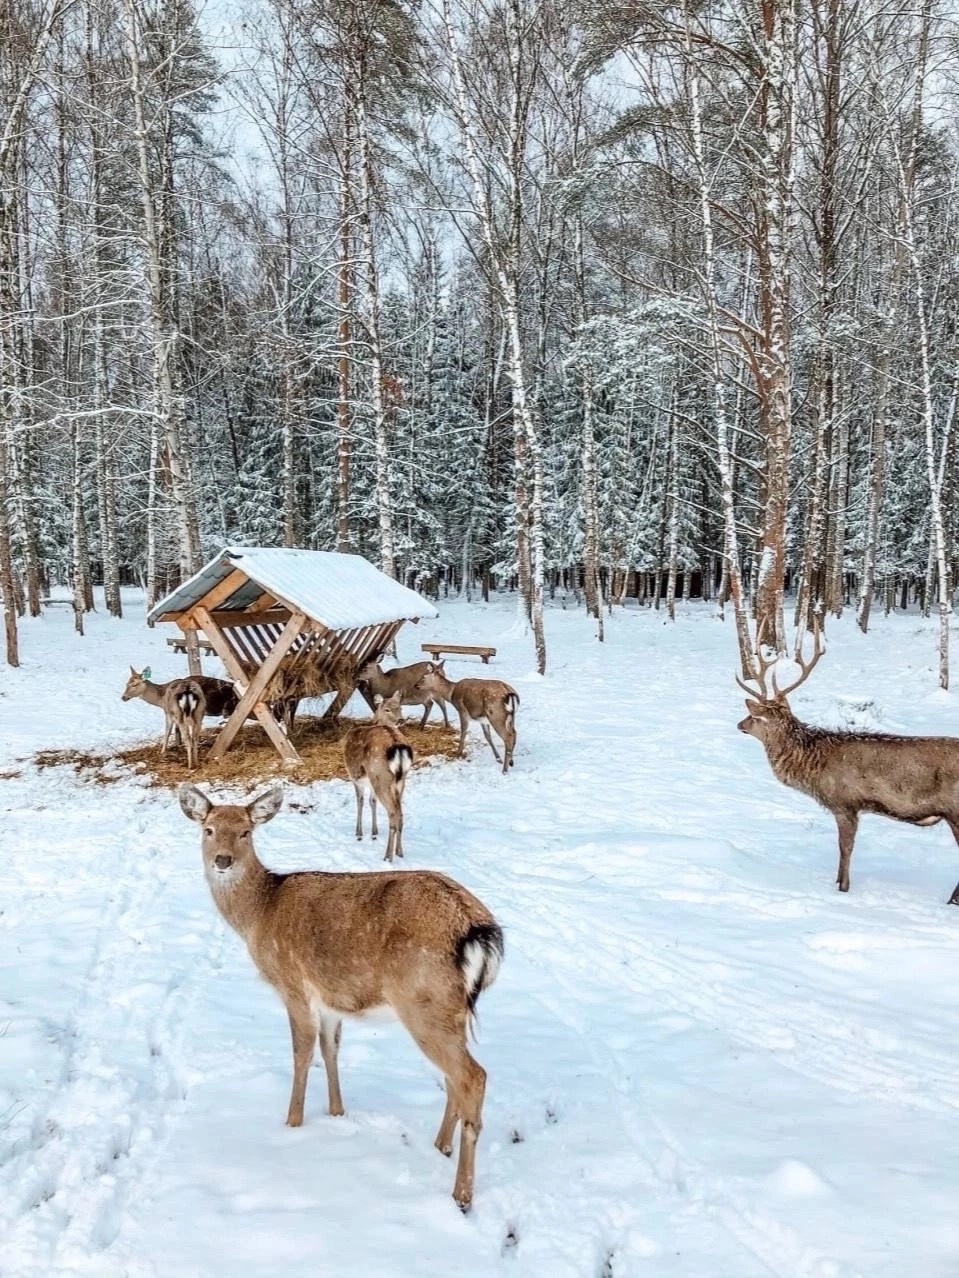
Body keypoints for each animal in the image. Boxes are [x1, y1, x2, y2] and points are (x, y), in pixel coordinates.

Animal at [181, 782, 511, 1211]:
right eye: (208, 829)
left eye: (245, 832)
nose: (223, 860)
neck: (258, 915)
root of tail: (479, 931)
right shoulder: (329, 998)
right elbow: (330, 1049)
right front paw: (337, 1113)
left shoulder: (293, 984)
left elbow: (301, 1053)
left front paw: (292, 1123)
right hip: (452, 1010)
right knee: (456, 1076)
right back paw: (440, 1146)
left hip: (424, 1000)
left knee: (472, 1076)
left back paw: (462, 1193)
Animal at [342, 690, 414, 858]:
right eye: (387, 709)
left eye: (400, 707)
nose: (401, 720)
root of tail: (398, 746)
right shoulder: (369, 781)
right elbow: (372, 801)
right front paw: (374, 833)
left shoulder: (355, 777)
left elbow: (360, 801)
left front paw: (359, 833)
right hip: (400, 780)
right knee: (400, 813)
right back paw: (399, 852)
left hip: (381, 777)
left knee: (393, 813)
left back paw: (388, 856)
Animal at [741, 623, 959, 904]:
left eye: (754, 717)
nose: (740, 724)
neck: (814, 767)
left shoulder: (846, 803)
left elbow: (845, 848)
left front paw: (842, 887)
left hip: (956, 810)